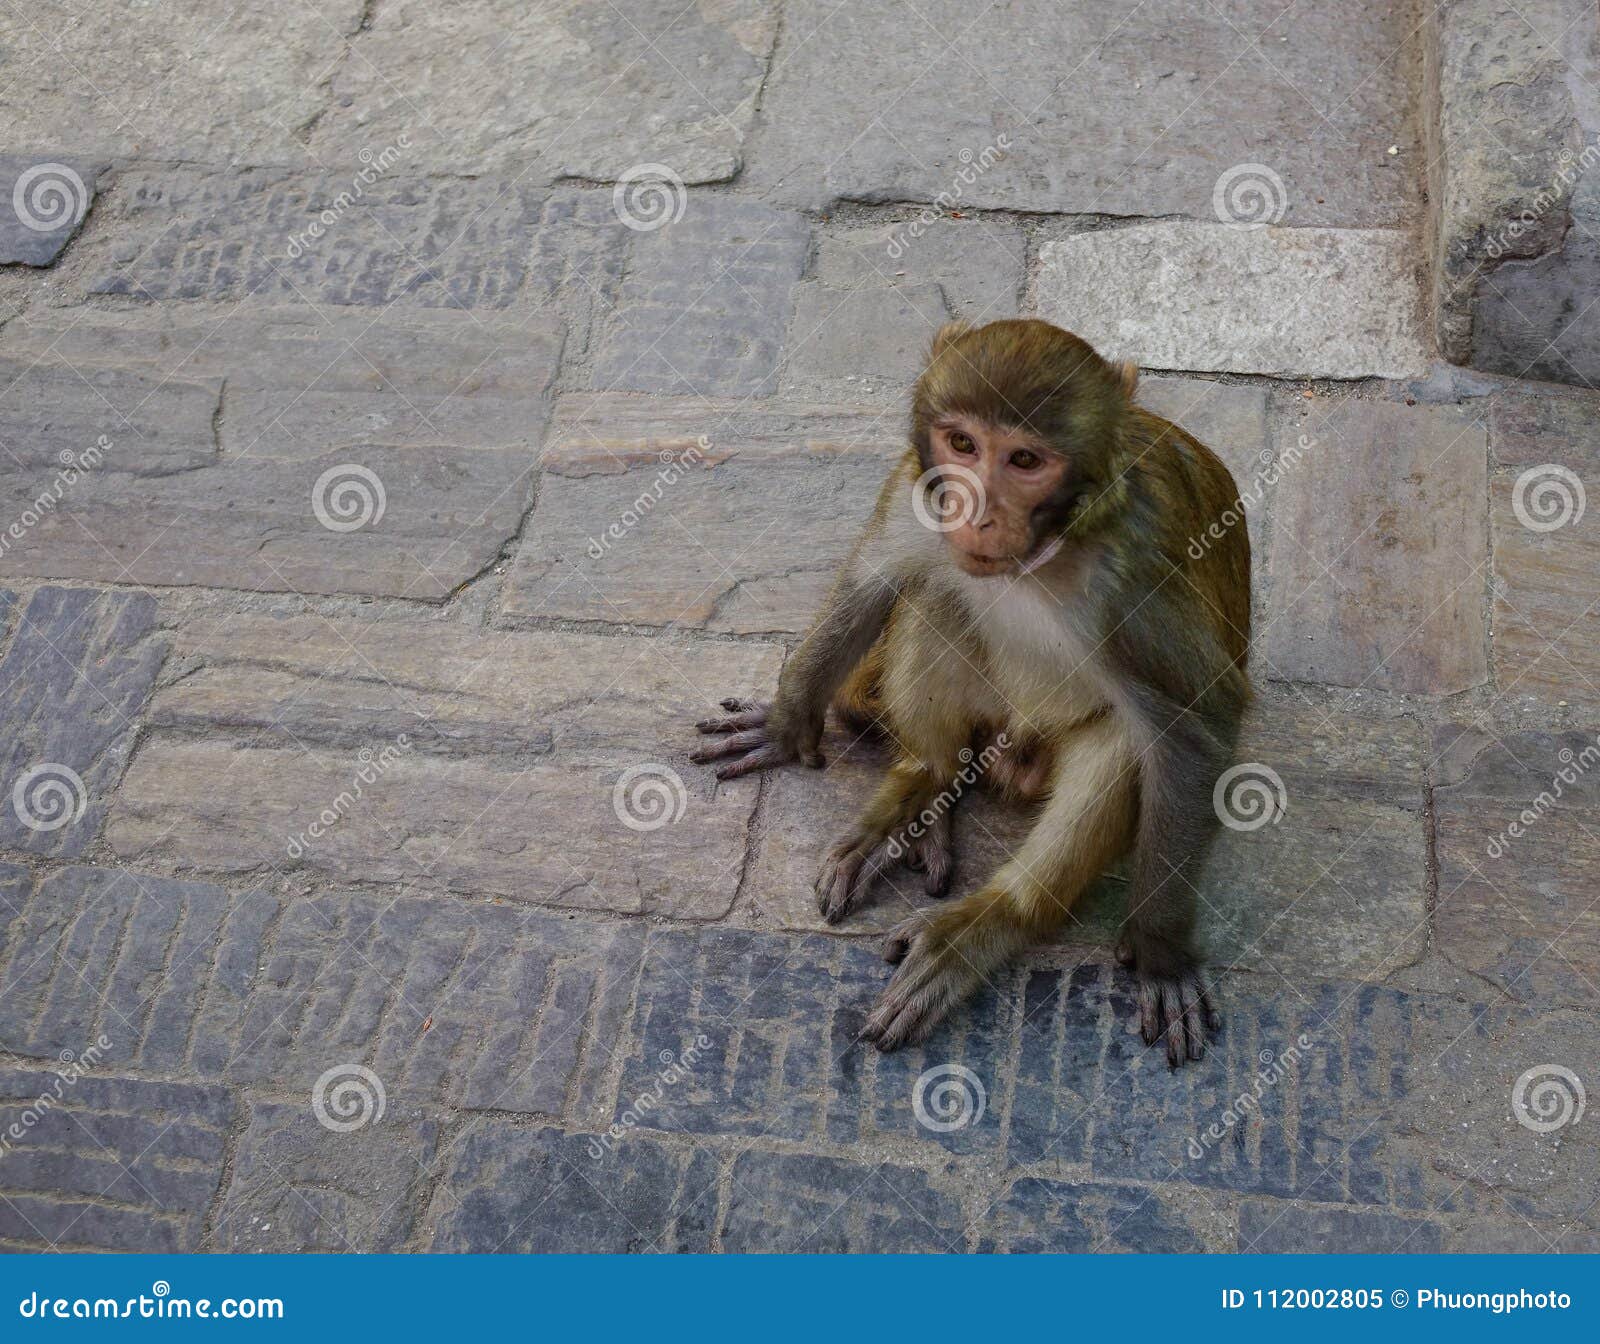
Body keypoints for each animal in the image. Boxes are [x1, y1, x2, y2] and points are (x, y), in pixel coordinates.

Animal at [691, 319, 1250, 1068]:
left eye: (1024, 460)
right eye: (961, 444)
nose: (975, 510)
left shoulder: (1134, 570)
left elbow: (1197, 723)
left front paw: (1160, 950)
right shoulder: (913, 482)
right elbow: (870, 583)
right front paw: (786, 723)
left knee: (1122, 738)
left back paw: (986, 924)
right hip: (986, 718)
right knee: (936, 594)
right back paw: (922, 790)